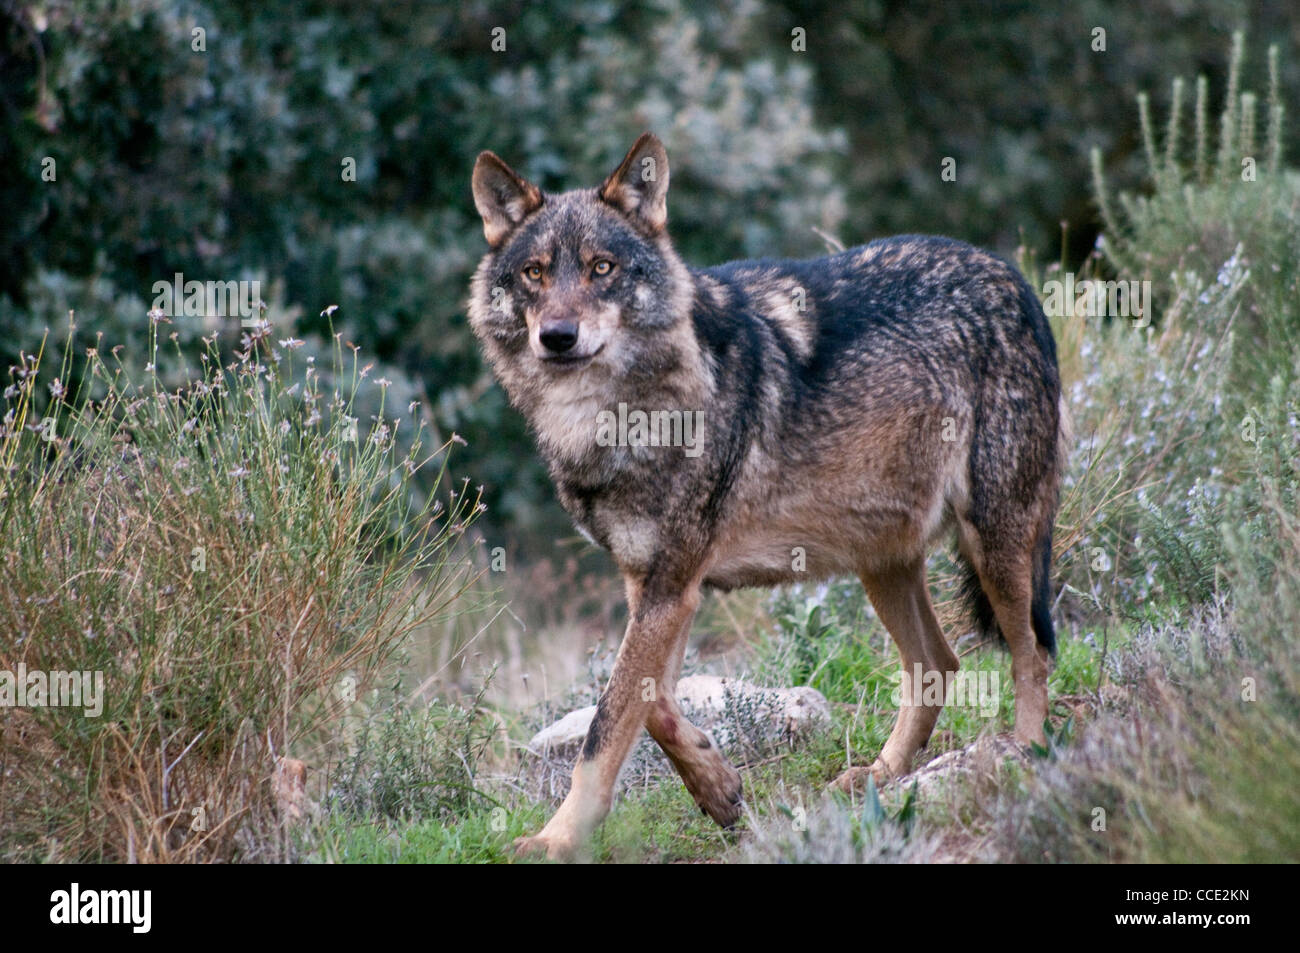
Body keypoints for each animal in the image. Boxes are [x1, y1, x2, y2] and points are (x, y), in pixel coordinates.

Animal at [468, 133, 1065, 861]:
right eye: (534, 274)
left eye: (601, 268)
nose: (557, 336)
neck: (612, 419)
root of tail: (1013, 276)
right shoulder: (657, 586)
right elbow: (651, 705)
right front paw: (717, 786)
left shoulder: (672, 586)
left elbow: (605, 725)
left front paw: (558, 838)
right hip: (884, 563)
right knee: (939, 663)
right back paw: (880, 775)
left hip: (995, 541)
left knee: (1031, 653)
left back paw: (1027, 752)